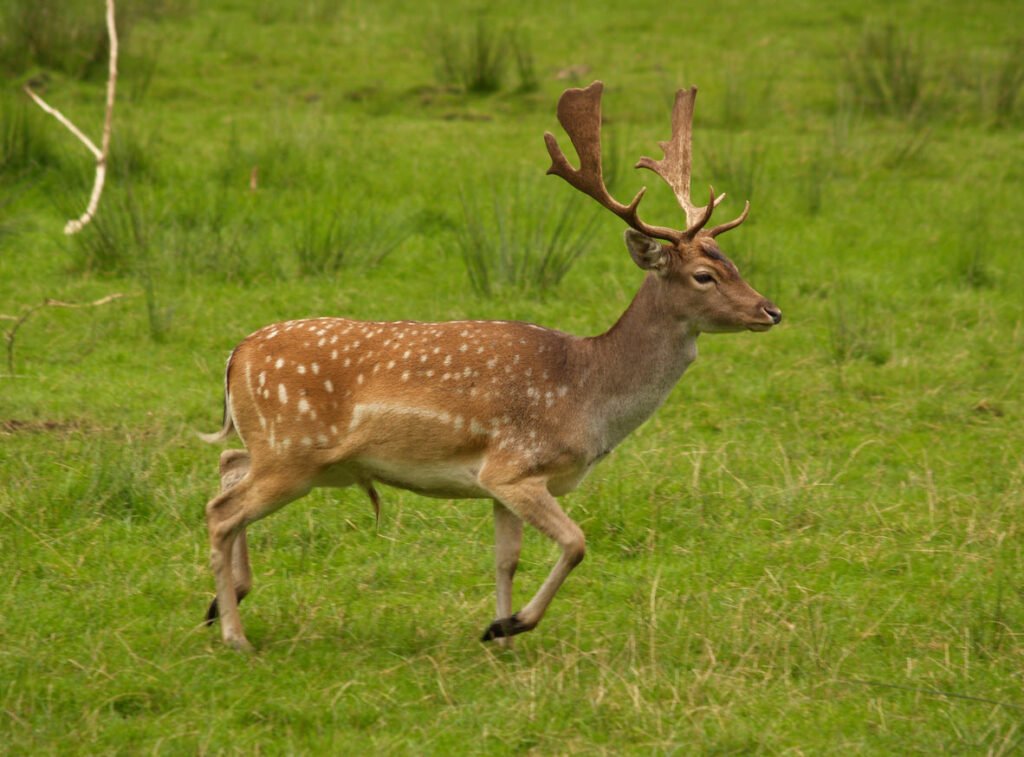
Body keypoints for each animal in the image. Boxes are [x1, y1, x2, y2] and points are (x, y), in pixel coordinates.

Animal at [201, 81, 781, 651]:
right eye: (704, 275)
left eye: (735, 264)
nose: (771, 310)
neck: (587, 396)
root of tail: (235, 354)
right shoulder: (514, 466)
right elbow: (576, 543)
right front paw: (511, 625)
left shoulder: (500, 483)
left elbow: (507, 560)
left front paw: (499, 637)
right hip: (292, 452)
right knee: (221, 511)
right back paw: (234, 634)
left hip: (288, 453)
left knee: (229, 465)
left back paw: (221, 603)